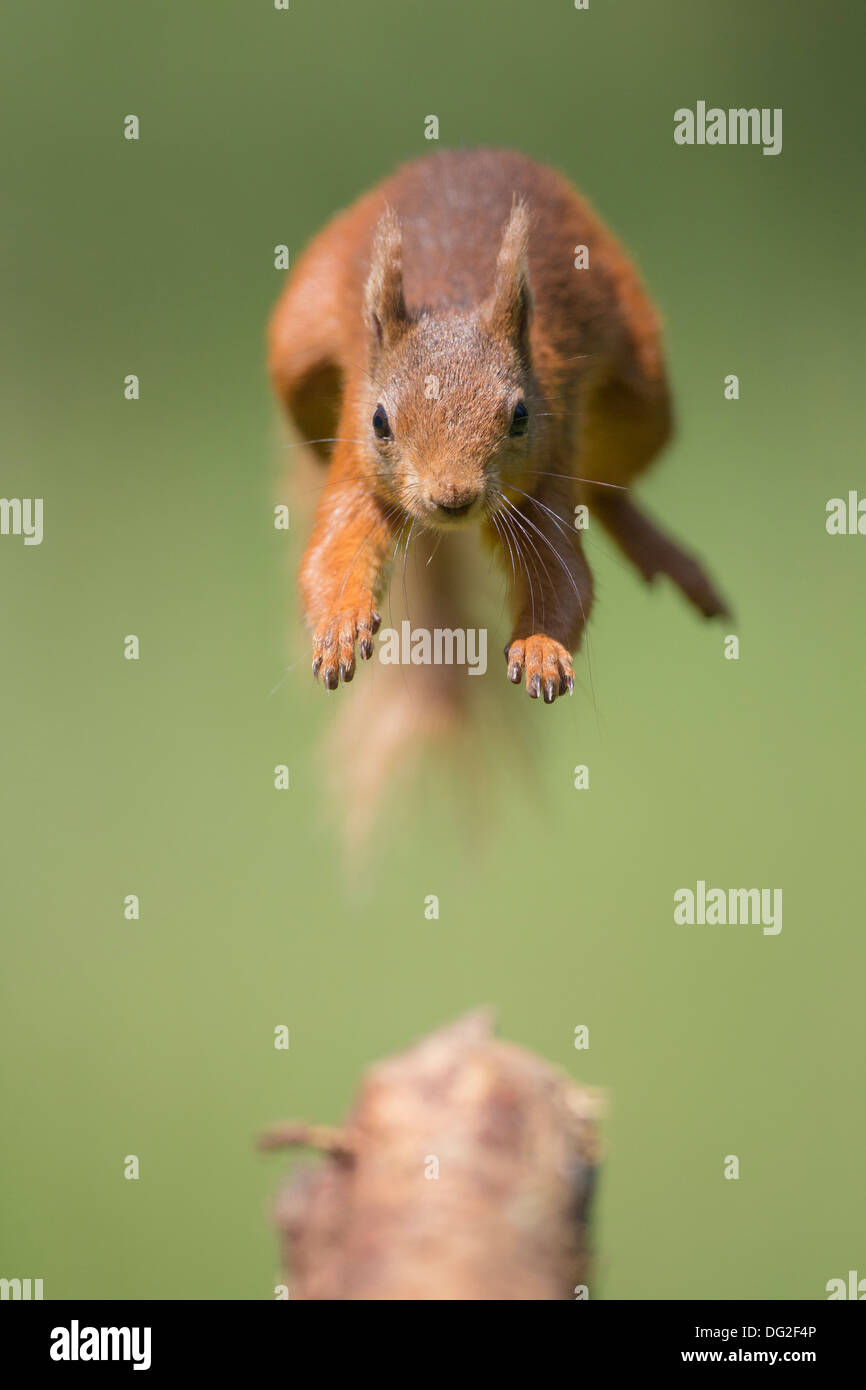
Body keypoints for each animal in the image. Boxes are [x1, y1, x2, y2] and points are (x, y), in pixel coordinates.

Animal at [269, 148, 728, 709]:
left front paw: (541, 650)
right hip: (295, 345)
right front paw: (338, 628)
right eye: (379, 421)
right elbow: (331, 555)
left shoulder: (550, 468)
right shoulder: (357, 465)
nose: (453, 499)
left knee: (609, 484)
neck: (452, 299)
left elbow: (566, 580)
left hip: (642, 394)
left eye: (521, 416)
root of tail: (468, 150)